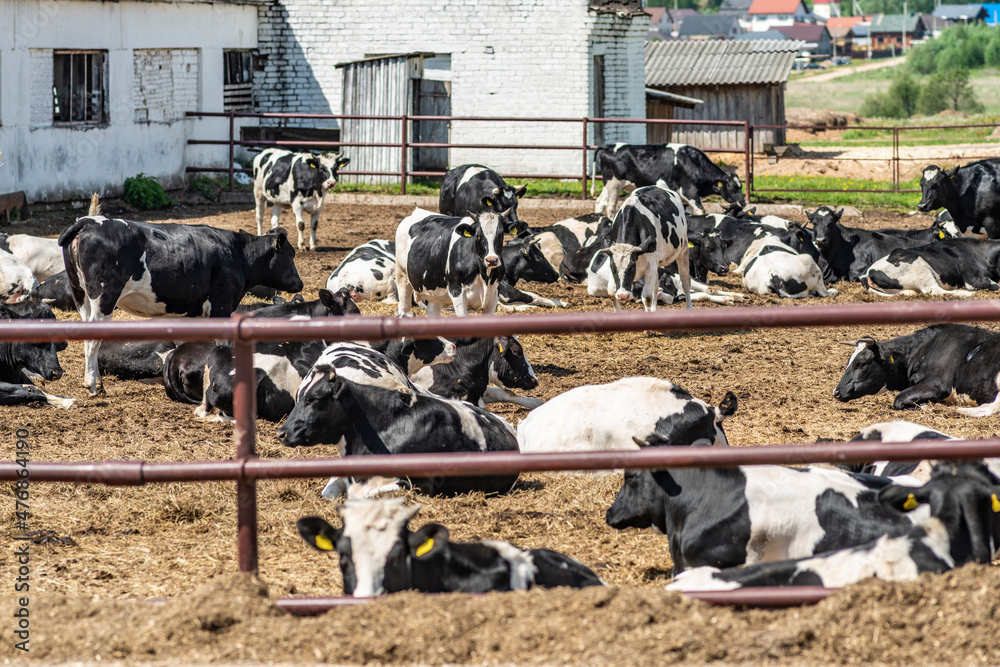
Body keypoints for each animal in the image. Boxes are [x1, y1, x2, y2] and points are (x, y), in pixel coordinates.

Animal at [59, 213, 303, 395]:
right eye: (291, 254)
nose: (299, 283)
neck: (237, 254)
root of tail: (91, 221)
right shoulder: (222, 305)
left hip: (81, 294)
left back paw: (97, 382)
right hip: (103, 296)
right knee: (93, 339)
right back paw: (92, 385)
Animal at [592, 143, 744, 219]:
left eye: (741, 186)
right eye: (733, 187)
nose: (743, 202)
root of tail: (609, 146)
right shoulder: (690, 192)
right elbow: (701, 210)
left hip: (608, 185)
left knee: (600, 202)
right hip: (614, 184)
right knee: (610, 207)